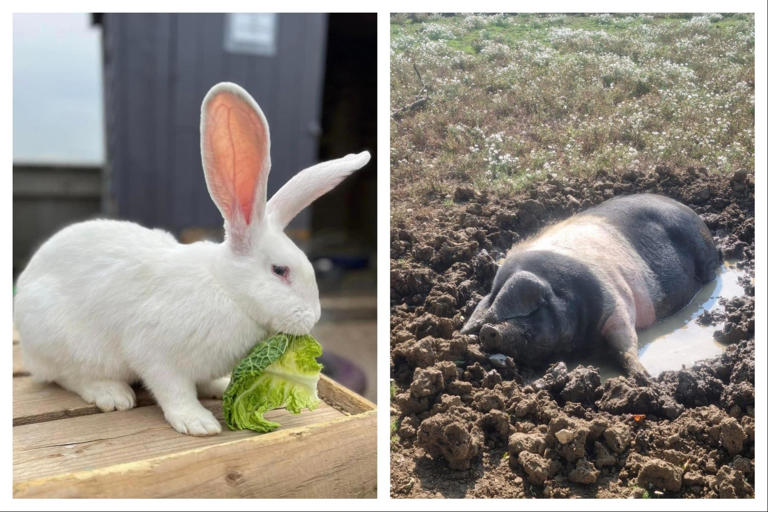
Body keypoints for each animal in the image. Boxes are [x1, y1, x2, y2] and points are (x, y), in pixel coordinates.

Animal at [461, 193, 721, 381]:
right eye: (492, 311)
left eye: (534, 309)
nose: (489, 330)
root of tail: (690, 211)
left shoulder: (615, 301)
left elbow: (626, 343)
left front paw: (644, 377)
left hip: (705, 260)